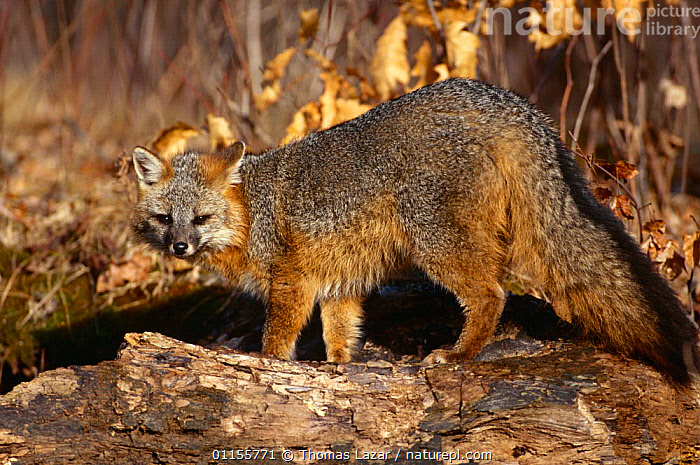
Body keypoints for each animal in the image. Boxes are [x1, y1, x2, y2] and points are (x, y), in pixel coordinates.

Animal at [131, 78, 700, 385]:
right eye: (165, 219)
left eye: (200, 219)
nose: (179, 246)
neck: (255, 210)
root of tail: (508, 105)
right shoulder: (339, 285)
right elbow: (340, 341)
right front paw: (340, 373)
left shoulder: (293, 281)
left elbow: (277, 339)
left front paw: (265, 370)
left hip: (437, 247)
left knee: (491, 295)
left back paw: (459, 355)